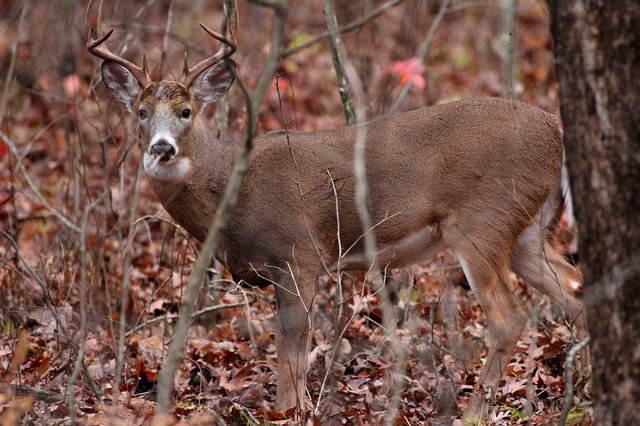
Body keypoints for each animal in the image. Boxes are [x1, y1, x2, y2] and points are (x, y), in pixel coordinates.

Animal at [87, 7, 586, 423]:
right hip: (527, 232)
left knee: (509, 316)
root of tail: (556, 129)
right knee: (577, 294)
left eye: (186, 111)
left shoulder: (299, 255)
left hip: (482, 221)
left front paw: (292, 412)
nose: (162, 149)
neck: (232, 188)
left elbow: (291, 355)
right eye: (141, 112)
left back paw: (473, 413)